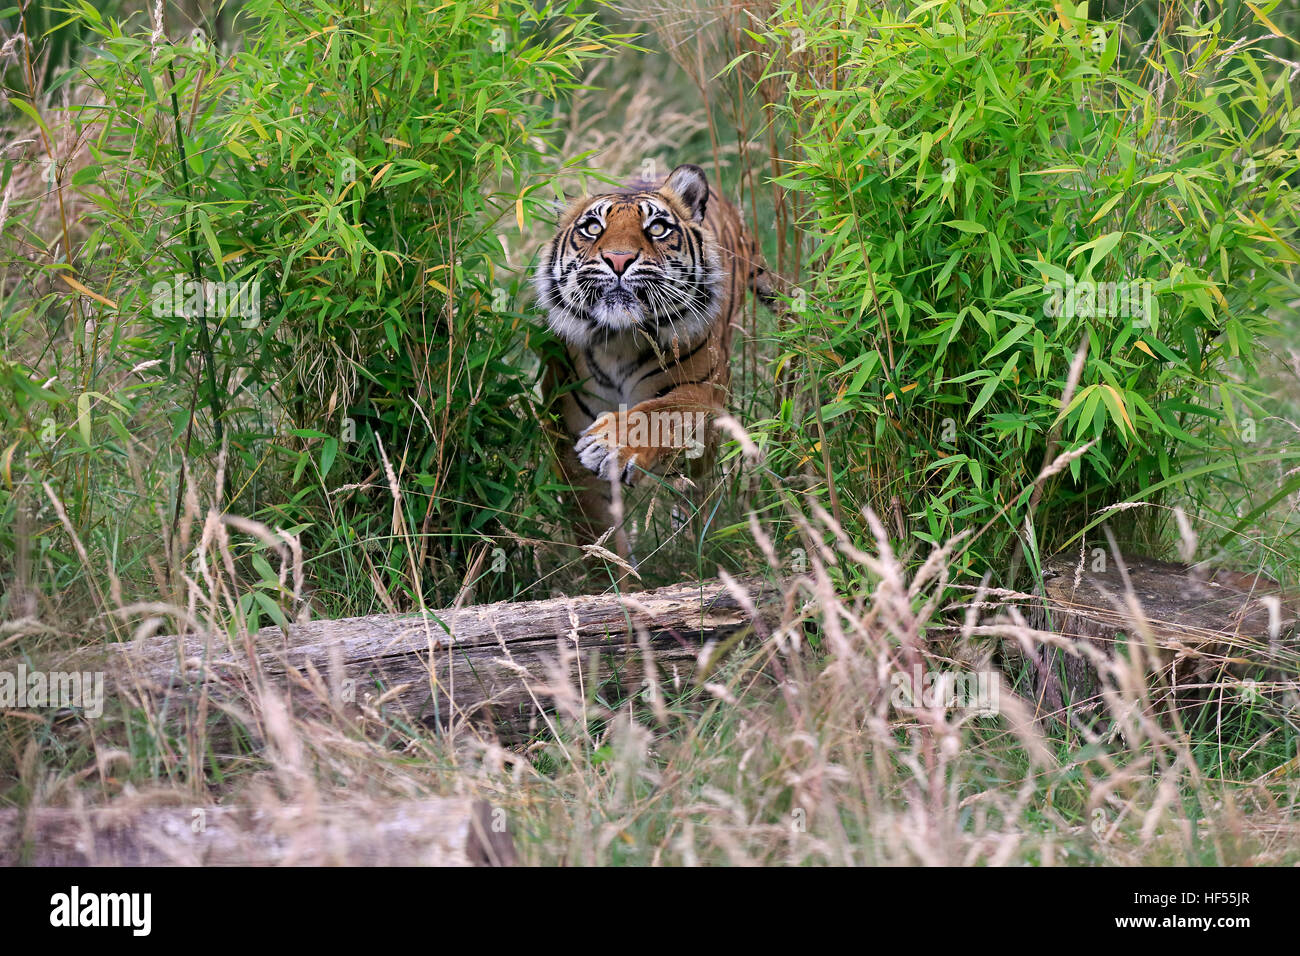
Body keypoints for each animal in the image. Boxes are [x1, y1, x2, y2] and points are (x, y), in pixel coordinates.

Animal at [534, 163, 775, 546]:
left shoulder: (704, 394)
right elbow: (600, 535)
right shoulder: (567, 446)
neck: (618, 341)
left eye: (658, 228)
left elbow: (661, 412)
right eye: (593, 228)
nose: (618, 259)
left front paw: (609, 444)